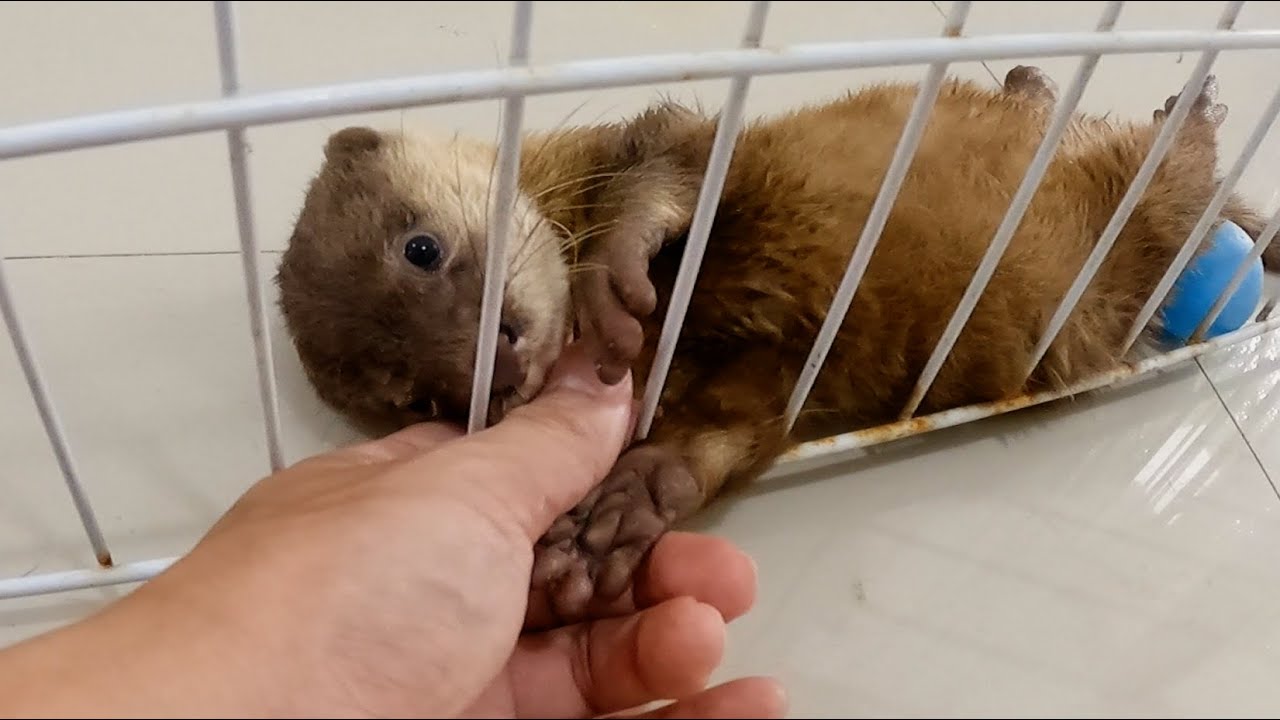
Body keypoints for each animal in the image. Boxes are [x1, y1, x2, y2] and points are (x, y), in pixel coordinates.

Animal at [275, 66, 1279, 623]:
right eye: (421, 398)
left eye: (420, 248)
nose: (501, 372)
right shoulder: (787, 378)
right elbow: (726, 430)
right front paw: (630, 505)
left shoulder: (672, 143)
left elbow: (667, 167)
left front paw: (613, 270)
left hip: (1131, 204)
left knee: (1176, 160)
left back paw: (1182, 100)